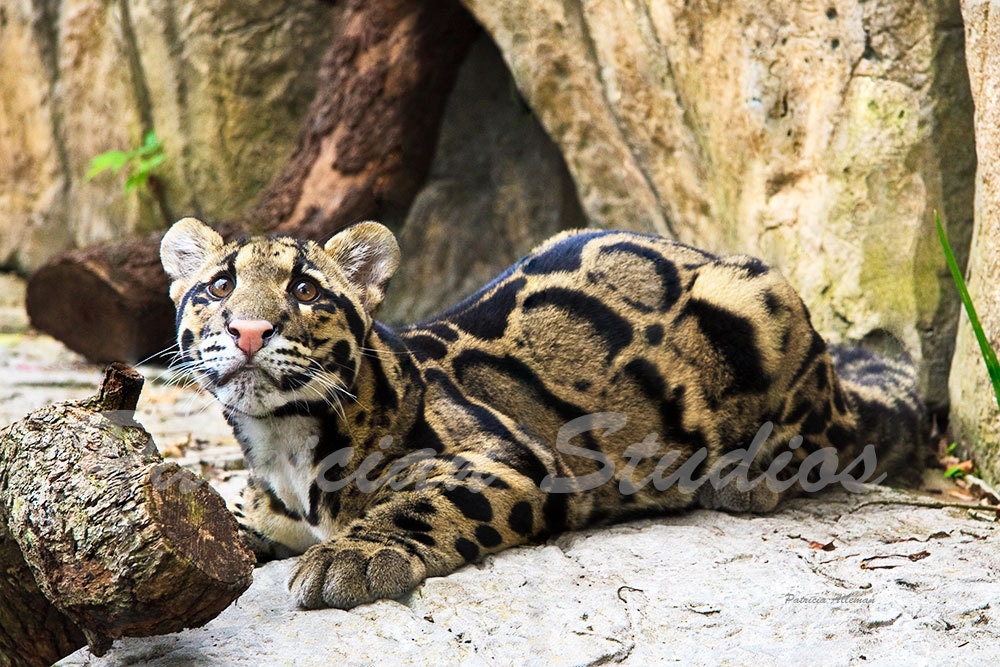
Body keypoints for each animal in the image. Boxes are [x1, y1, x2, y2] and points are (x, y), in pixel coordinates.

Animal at [160, 216, 926, 610]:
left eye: (306, 290)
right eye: (219, 286)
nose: (249, 330)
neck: (283, 442)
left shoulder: (507, 461)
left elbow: (418, 503)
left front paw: (351, 552)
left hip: (762, 304)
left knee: (834, 438)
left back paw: (748, 472)